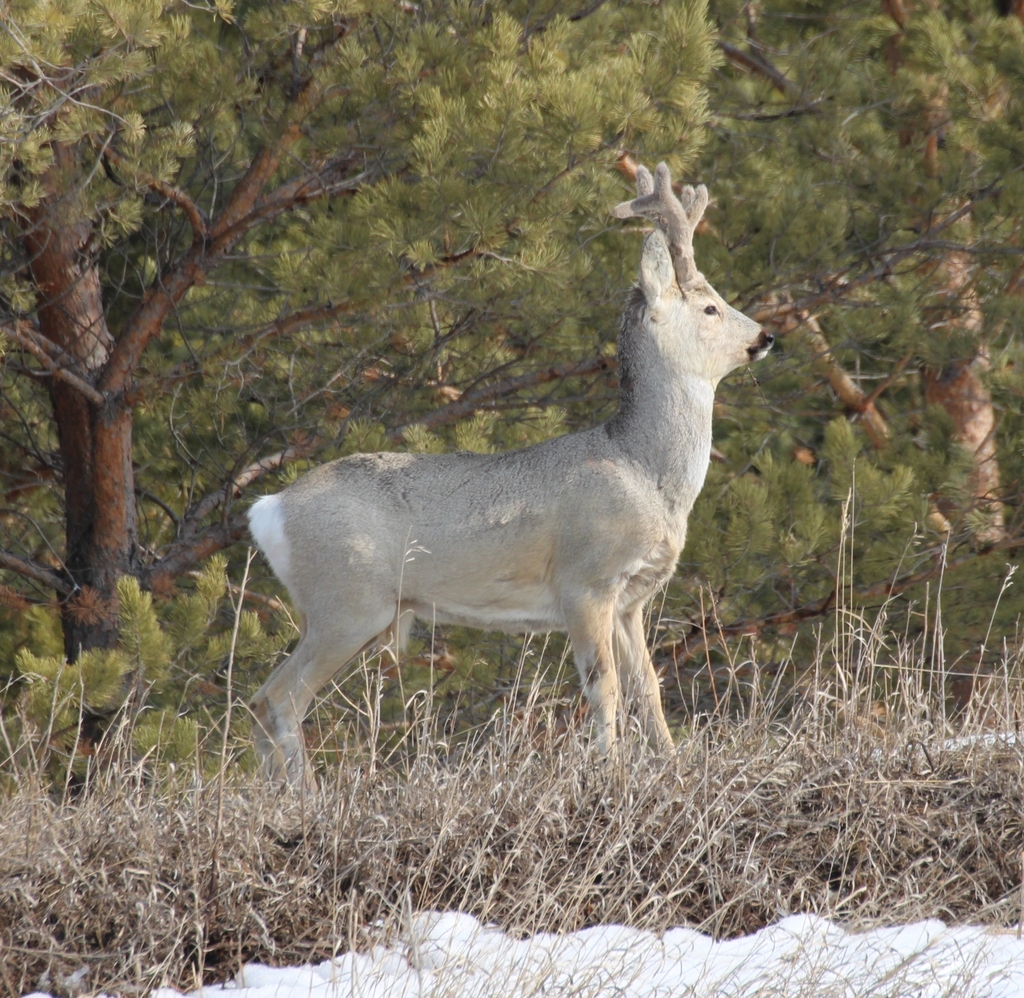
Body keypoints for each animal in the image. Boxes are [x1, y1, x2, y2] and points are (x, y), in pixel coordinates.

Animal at [247, 162, 773, 787]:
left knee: (268, 701)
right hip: (347, 601)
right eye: (711, 307)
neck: (644, 468)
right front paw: (609, 776)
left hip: (343, 611)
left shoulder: (630, 600)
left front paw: (671, 768)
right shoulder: (584, 581)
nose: (765, 337)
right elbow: (605, 690)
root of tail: (269, 509)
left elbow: (649, 691)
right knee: (279, 697)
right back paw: (306, 796)